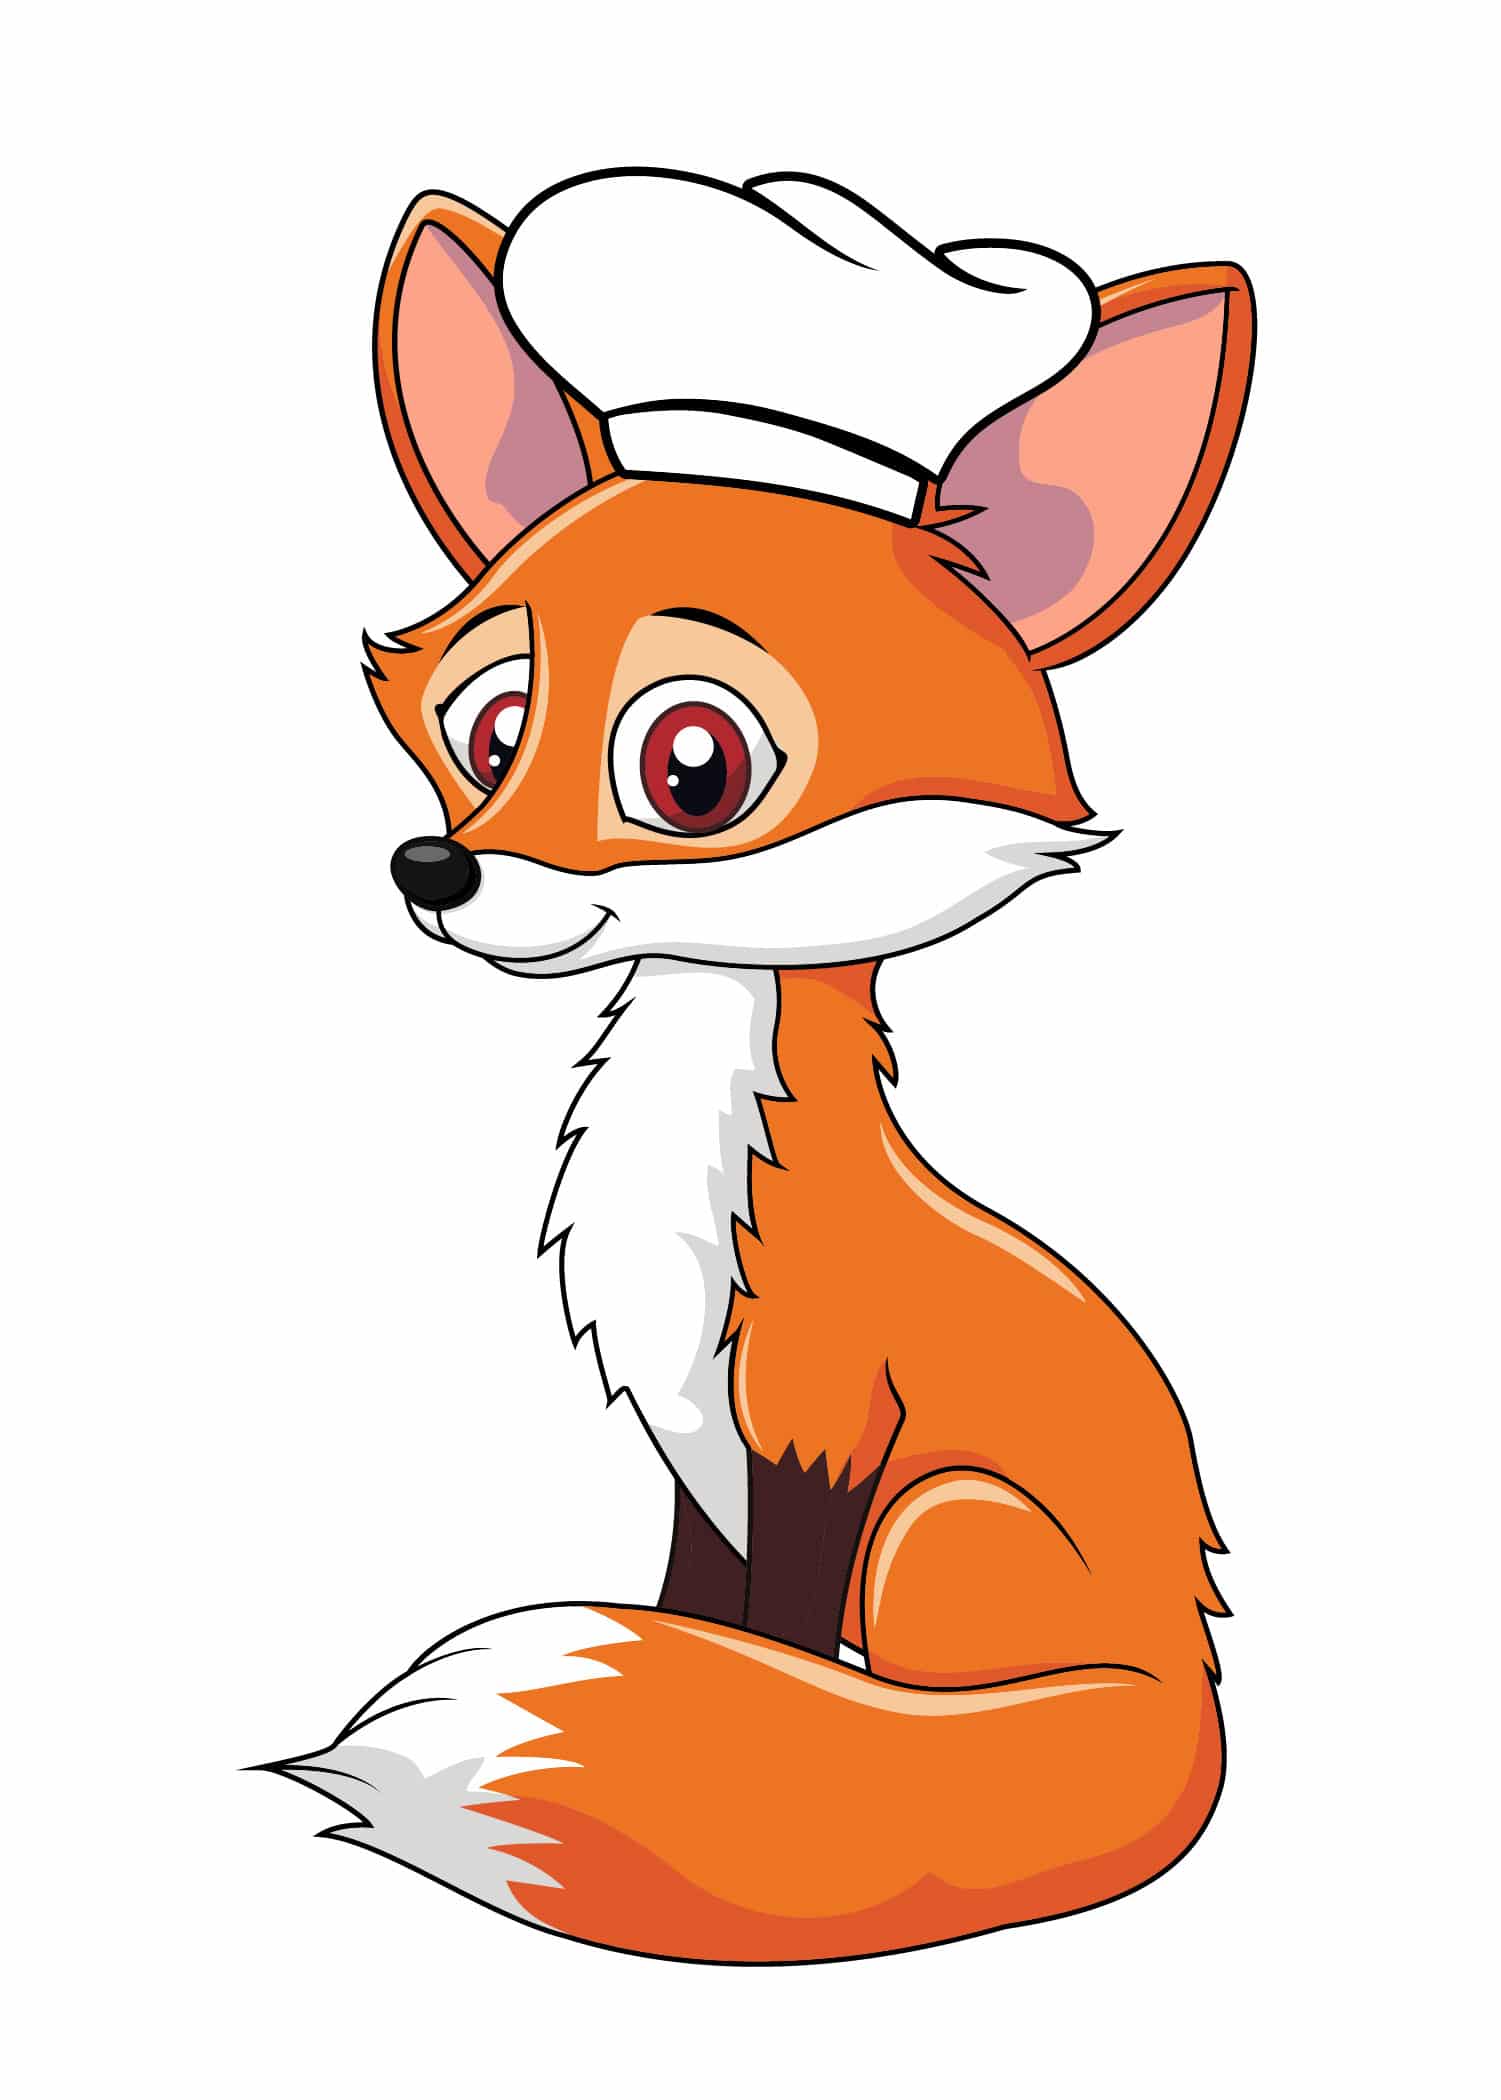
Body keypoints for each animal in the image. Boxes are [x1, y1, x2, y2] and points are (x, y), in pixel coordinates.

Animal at [269, 172, 1254, 1963]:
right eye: (489, 732)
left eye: (693, 765)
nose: (433, 872)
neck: (700, 1185)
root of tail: (1190, 1693)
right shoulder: (693, 1449)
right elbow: (692, 1608)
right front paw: (700, 1670)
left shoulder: (817, 1433)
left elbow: (783, 1648)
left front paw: (771, 1711)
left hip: (949, 1522)